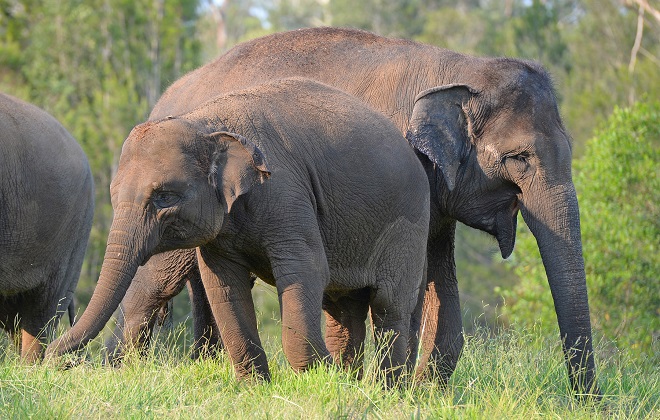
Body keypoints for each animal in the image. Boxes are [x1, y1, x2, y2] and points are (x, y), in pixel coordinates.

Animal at [47, 78, 431, 383]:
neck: (205, 122)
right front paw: (258, 386)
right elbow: (223, 285)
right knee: (343, 306)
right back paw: (353, 378)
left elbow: (305, 271)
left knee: (389, 305)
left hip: (409, 225)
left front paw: (319, 377)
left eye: (164, 197)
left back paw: (384, 389)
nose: (55, 360)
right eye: (113, 195)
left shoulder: (286, 192)